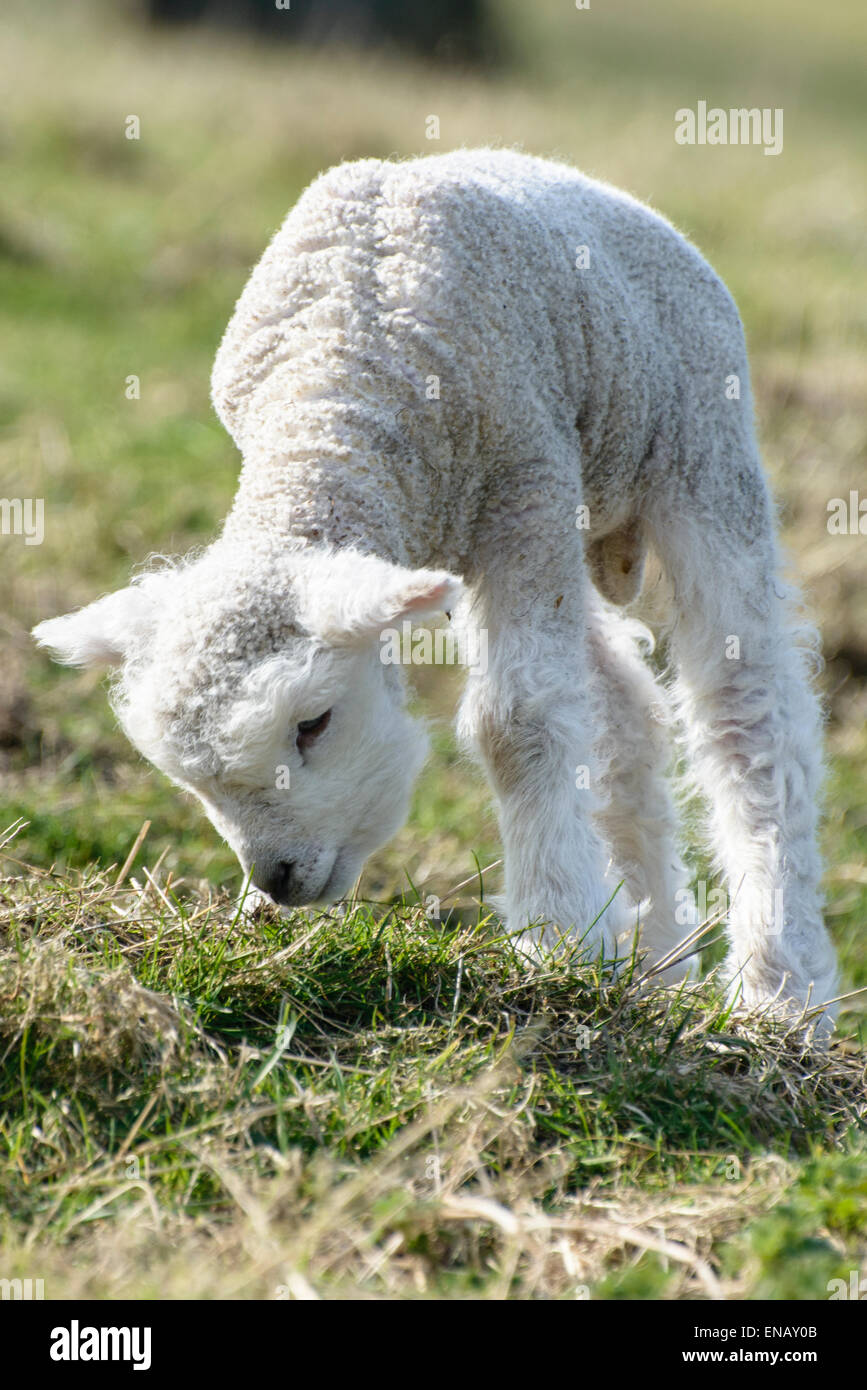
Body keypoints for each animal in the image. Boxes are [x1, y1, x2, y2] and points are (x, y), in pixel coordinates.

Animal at [34, 148, 838, 1028]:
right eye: (190, 778)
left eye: (313, 724)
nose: (276, 879)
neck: (338, 389)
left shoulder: (526, 481)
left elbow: (516, 723)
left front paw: (558, 938)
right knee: (627, 714)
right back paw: (658, 961)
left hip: (698, 446)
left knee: (748, 707)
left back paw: (781, 989)